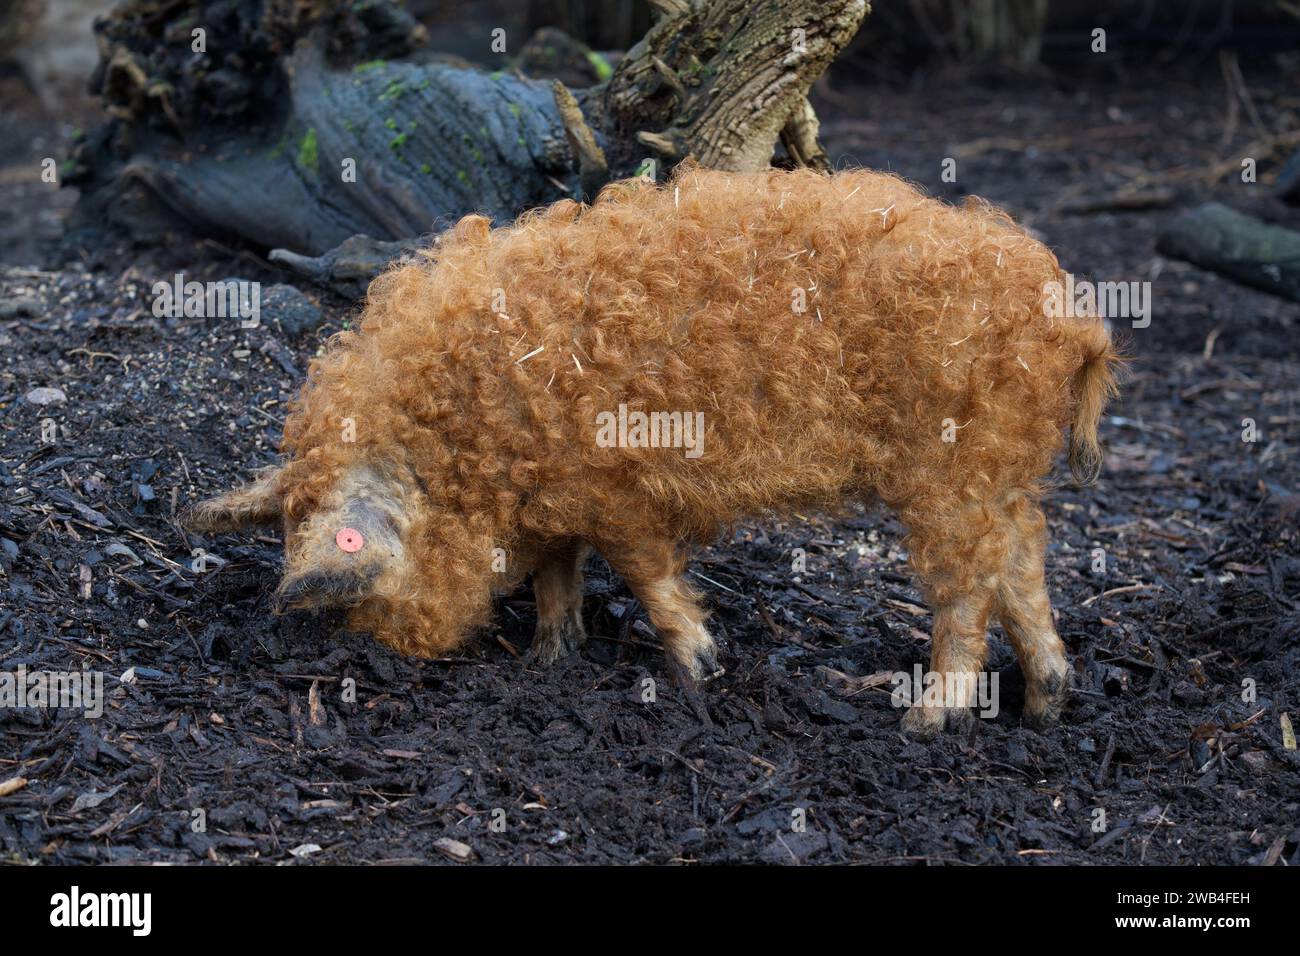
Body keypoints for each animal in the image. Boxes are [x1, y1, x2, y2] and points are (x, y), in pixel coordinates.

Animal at [188, 164, 1119, 736]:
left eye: (369, 574)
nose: (396, 647)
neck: (463, 428)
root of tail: (1074, 314)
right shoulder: (561, 495)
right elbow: (556, 569)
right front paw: (552, 655)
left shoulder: (617, 490)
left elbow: (641, 569)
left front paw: (701, 669)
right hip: (997, 471)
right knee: (1024, 557)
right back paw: (1046, 705)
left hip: (949, 469)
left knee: (966, 585)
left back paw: (928, 721)